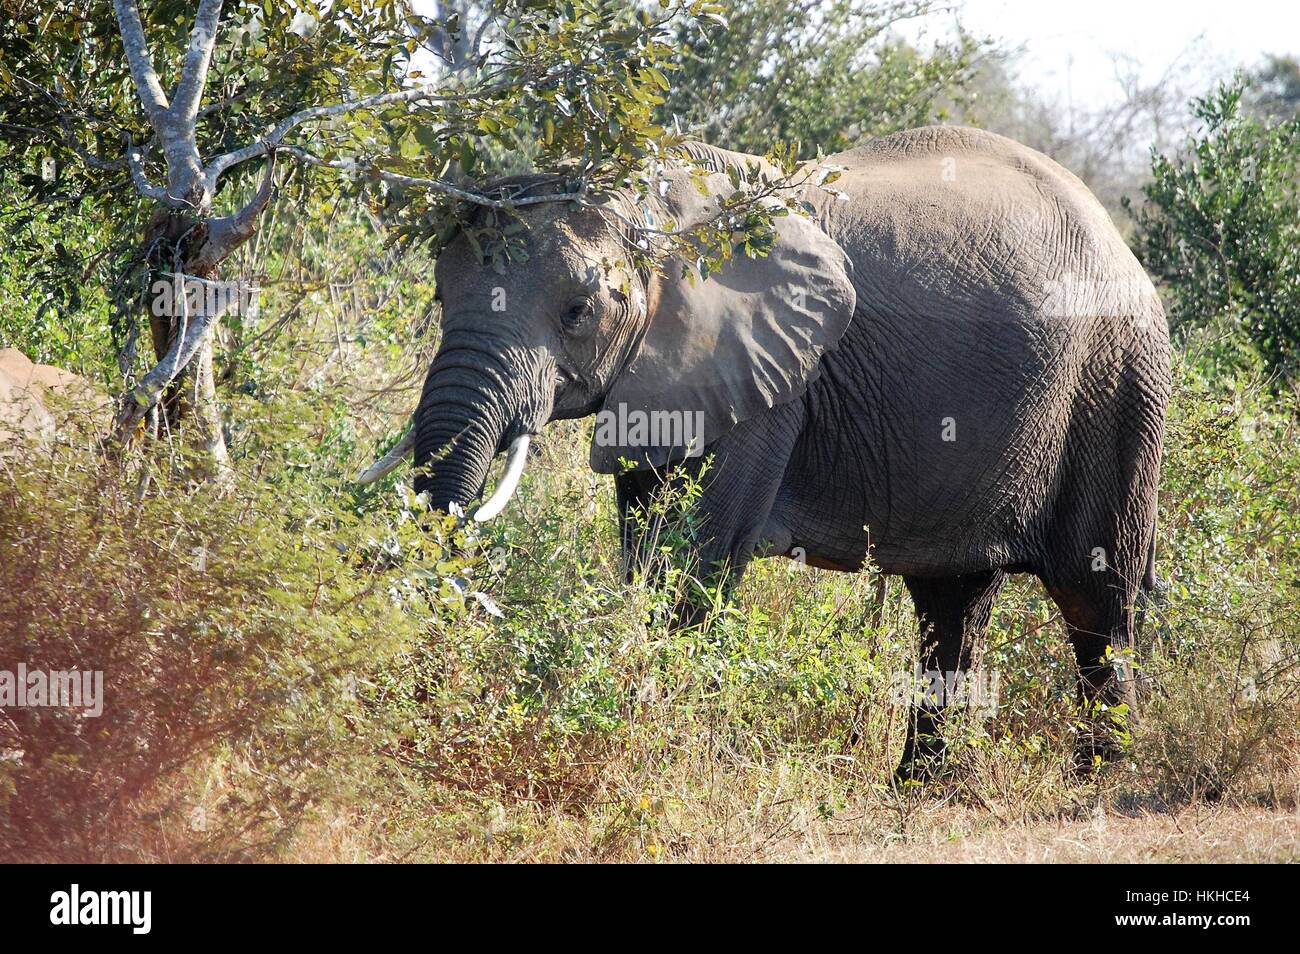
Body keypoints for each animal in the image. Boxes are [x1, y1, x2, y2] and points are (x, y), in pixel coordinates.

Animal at [362, 125, 1172, 778]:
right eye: (440, 297)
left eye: (577, 311)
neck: (659, 204)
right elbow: (646, 538)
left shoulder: (770, 377)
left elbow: (695, 559)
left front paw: (660, 754)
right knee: (951, 601)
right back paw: (924, 790)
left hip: (1117, 381)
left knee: (1095, 595)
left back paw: (1099, 782)